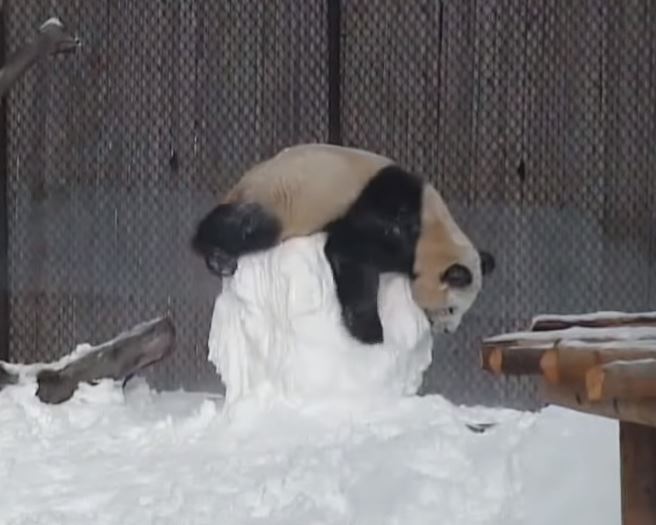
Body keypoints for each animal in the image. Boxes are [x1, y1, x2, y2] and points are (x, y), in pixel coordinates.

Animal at [192, 143, 495, 344]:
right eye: (451, 308)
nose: (447, 330)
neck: (432, 231)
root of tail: (239, 185)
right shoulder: (389, 214)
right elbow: (349, 251)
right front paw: (371, 332)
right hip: (278, 197)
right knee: (247, 226)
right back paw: (217, 254)